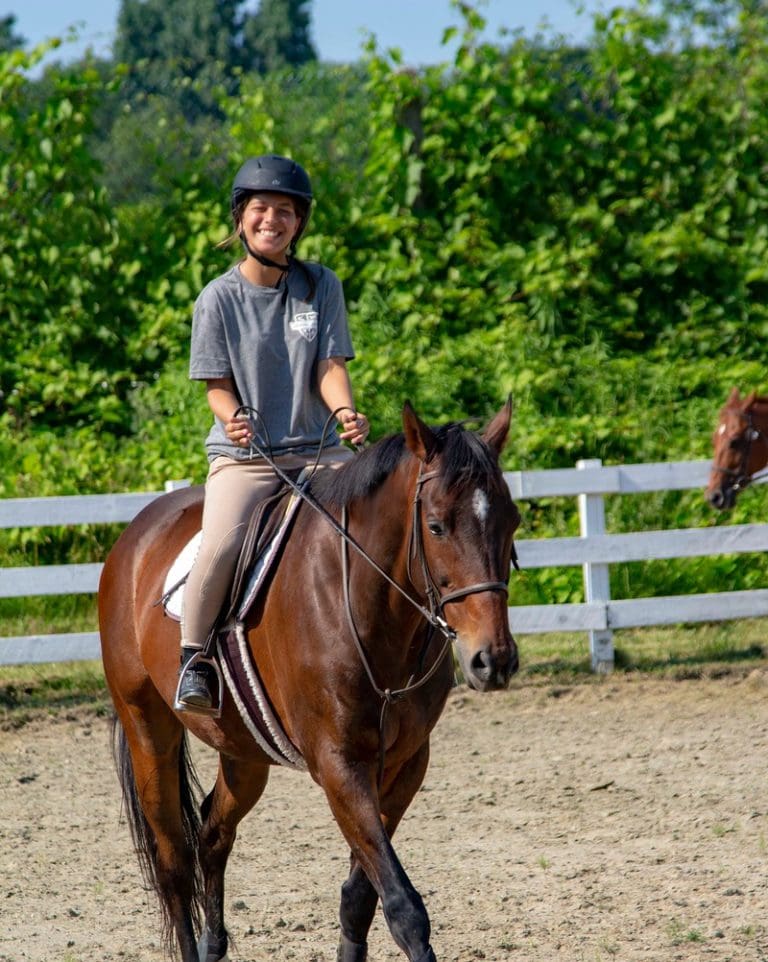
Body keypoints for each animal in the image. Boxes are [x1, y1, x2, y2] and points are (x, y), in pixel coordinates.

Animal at [98, 399, 521, 962]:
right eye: (435, 527)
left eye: (512, 521)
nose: (493, 660)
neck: (365, 605)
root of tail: (135, 535)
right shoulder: (338, 766)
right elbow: (404, 906)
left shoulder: (405, 765)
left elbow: (361, 895)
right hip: (149, 732)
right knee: (173, 864)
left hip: (243, 750)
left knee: (212, 833)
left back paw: (214, 943)